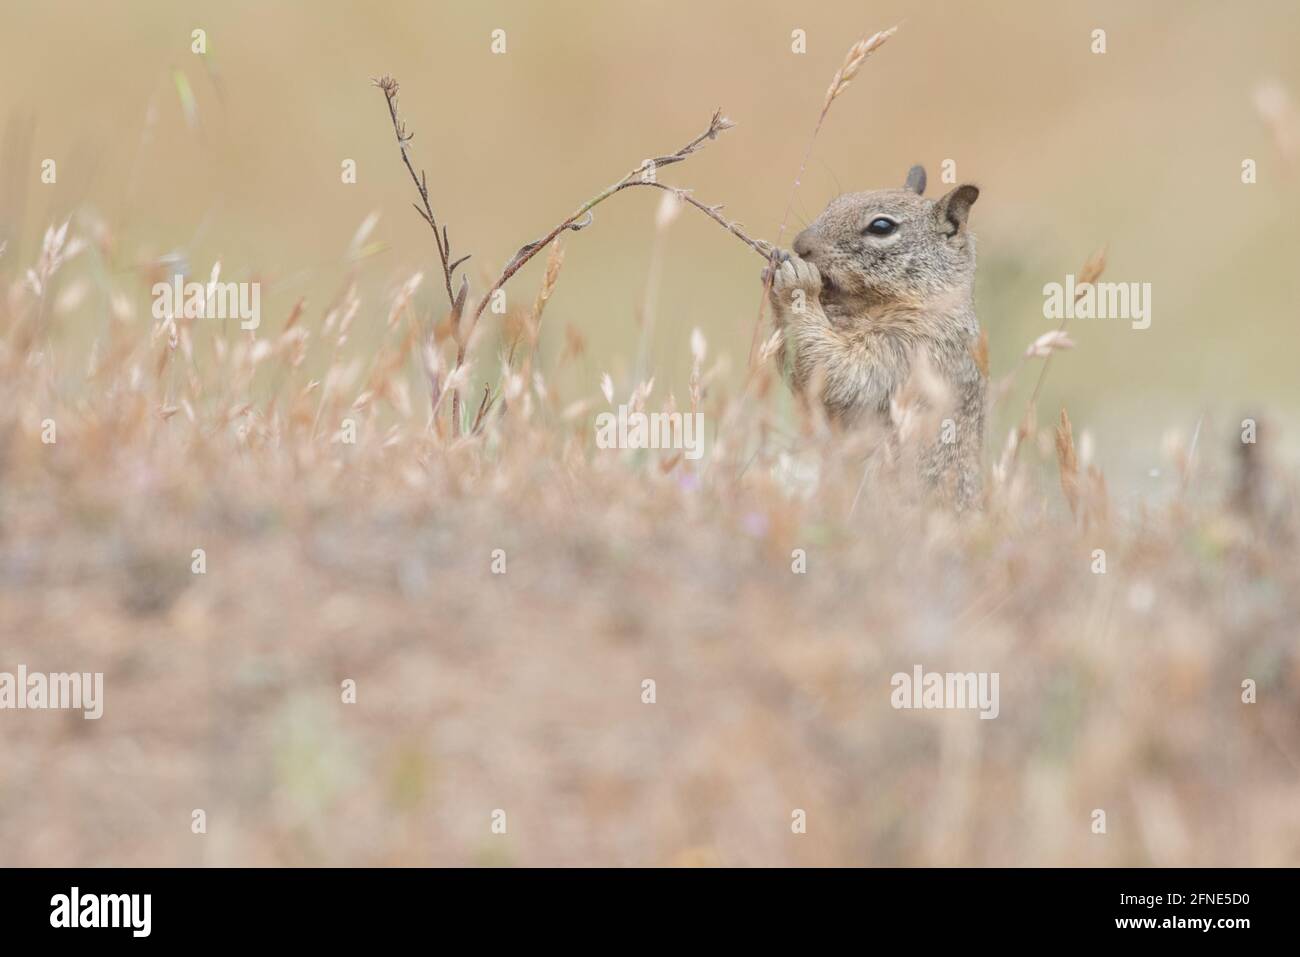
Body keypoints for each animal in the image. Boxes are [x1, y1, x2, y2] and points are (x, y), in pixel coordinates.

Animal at [765, 165, 986, 510]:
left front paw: (797, 283)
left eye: (881, 226)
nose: (800, 245)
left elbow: (844, 376)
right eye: (834, 203)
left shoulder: (909, 351)